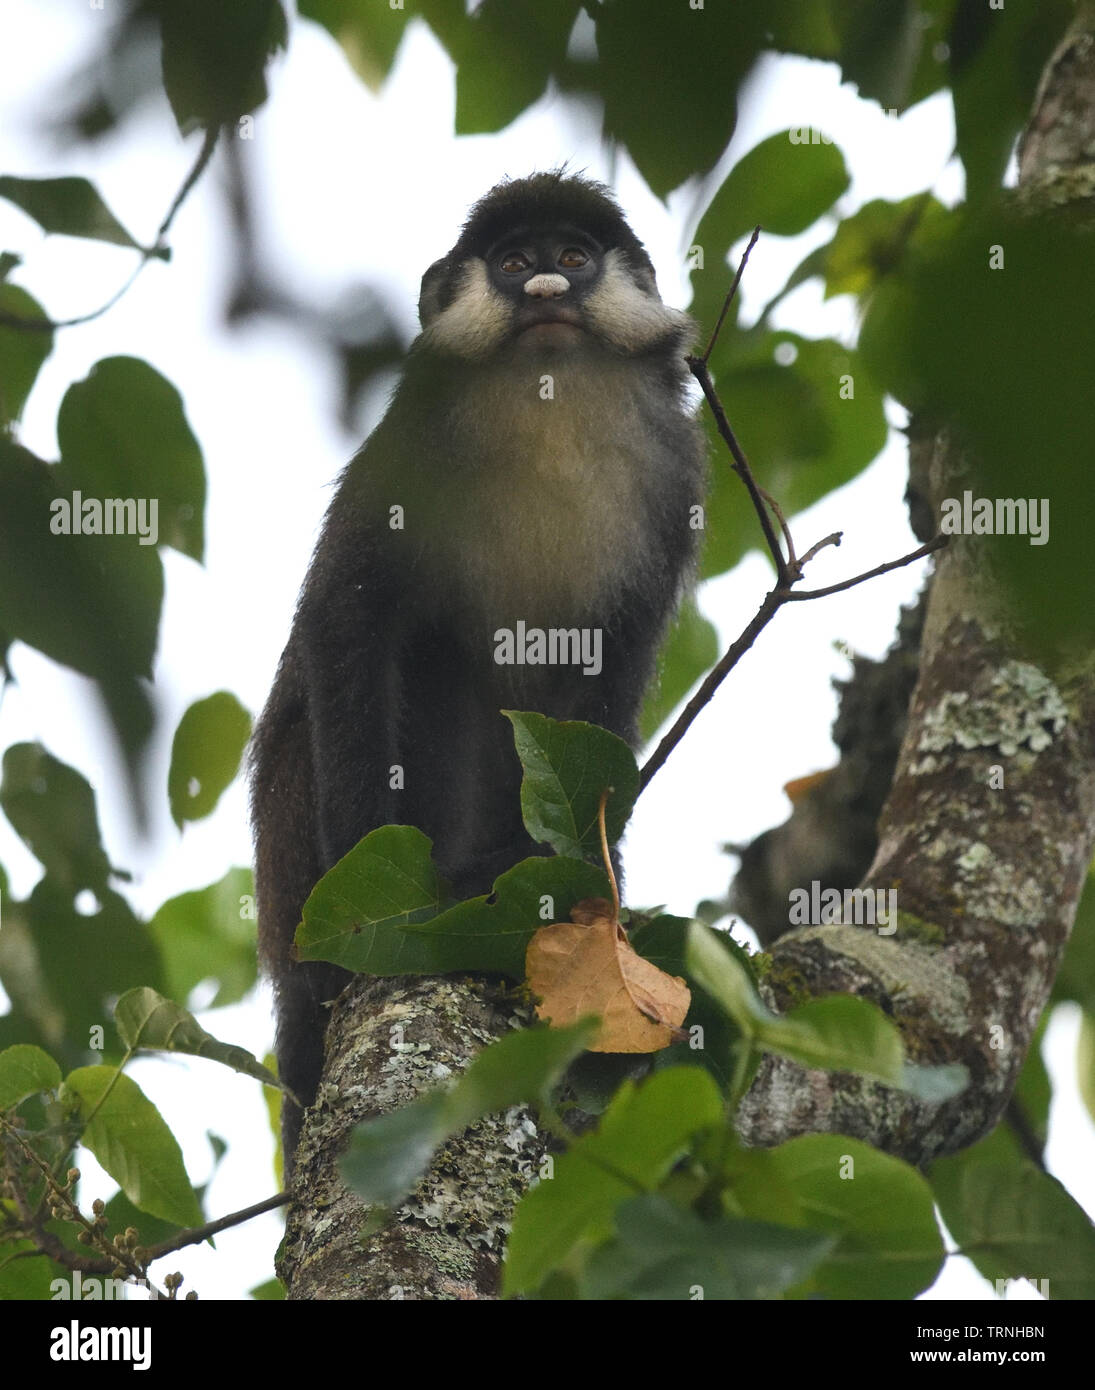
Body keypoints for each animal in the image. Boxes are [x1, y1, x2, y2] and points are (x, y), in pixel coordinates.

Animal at [250, 171, 707, 1171]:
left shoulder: (674, 484)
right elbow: (350, 617)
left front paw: (587, 882)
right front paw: (369, 857)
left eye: (573, 255)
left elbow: (616, 666)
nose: (544, 289)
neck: (549, 406)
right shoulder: (409, 444)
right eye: (510, 261)